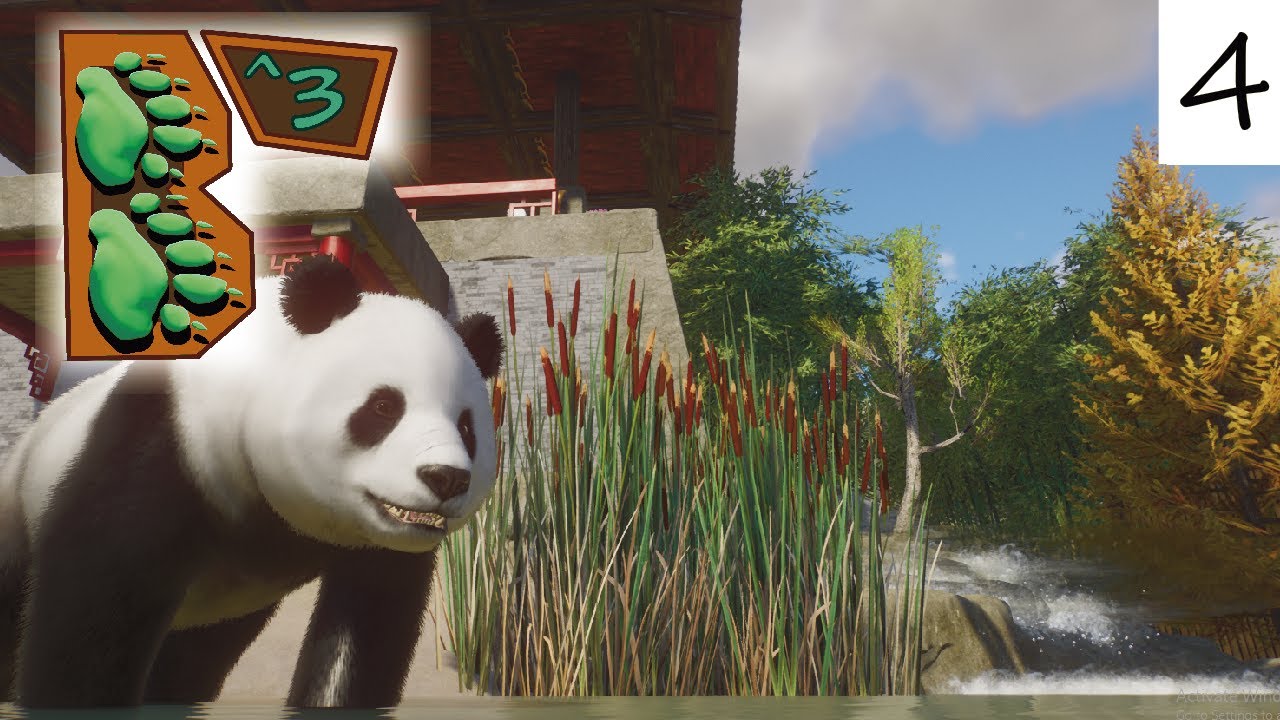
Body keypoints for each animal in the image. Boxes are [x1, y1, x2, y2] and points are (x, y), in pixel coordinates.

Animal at [0, 254, 503, 708]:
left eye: (466, 427)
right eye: (383, 407)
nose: (446, 478)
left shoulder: (380, 545)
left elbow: (367, 626)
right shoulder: (164, 440)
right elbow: (100, 600)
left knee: (192, 659)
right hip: (19, 503)